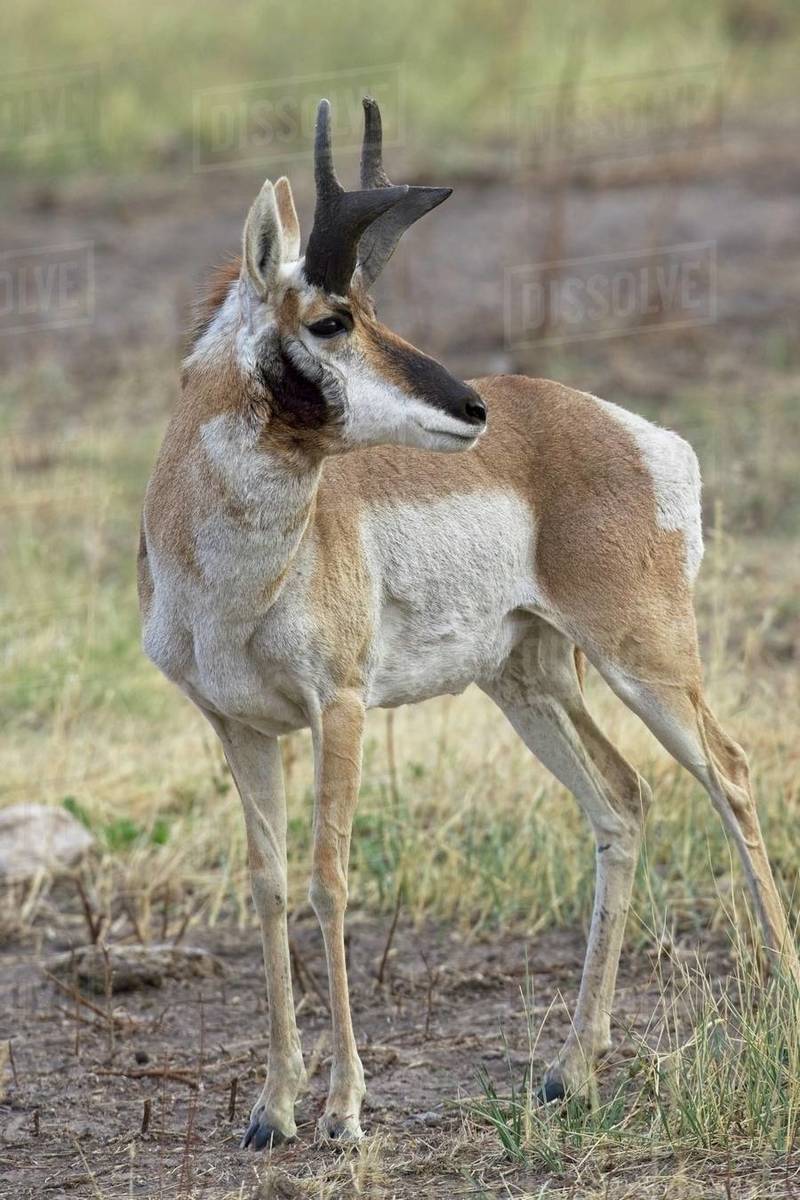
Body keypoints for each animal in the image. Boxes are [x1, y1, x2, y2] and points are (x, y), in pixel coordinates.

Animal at [138, 97, 799, 1149]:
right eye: (331, 318)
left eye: (372, 310)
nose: (471, 407)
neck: (228, 576)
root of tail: (636, 432)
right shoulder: (238, 726)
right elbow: (269, 885)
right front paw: (271, 1111)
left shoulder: (340, 708)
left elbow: (330, 878)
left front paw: (344, 1111)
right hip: (528, 683)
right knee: (621, 800)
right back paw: (570, 1071)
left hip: (645, 661)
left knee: (728, 773)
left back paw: (776, 1002)